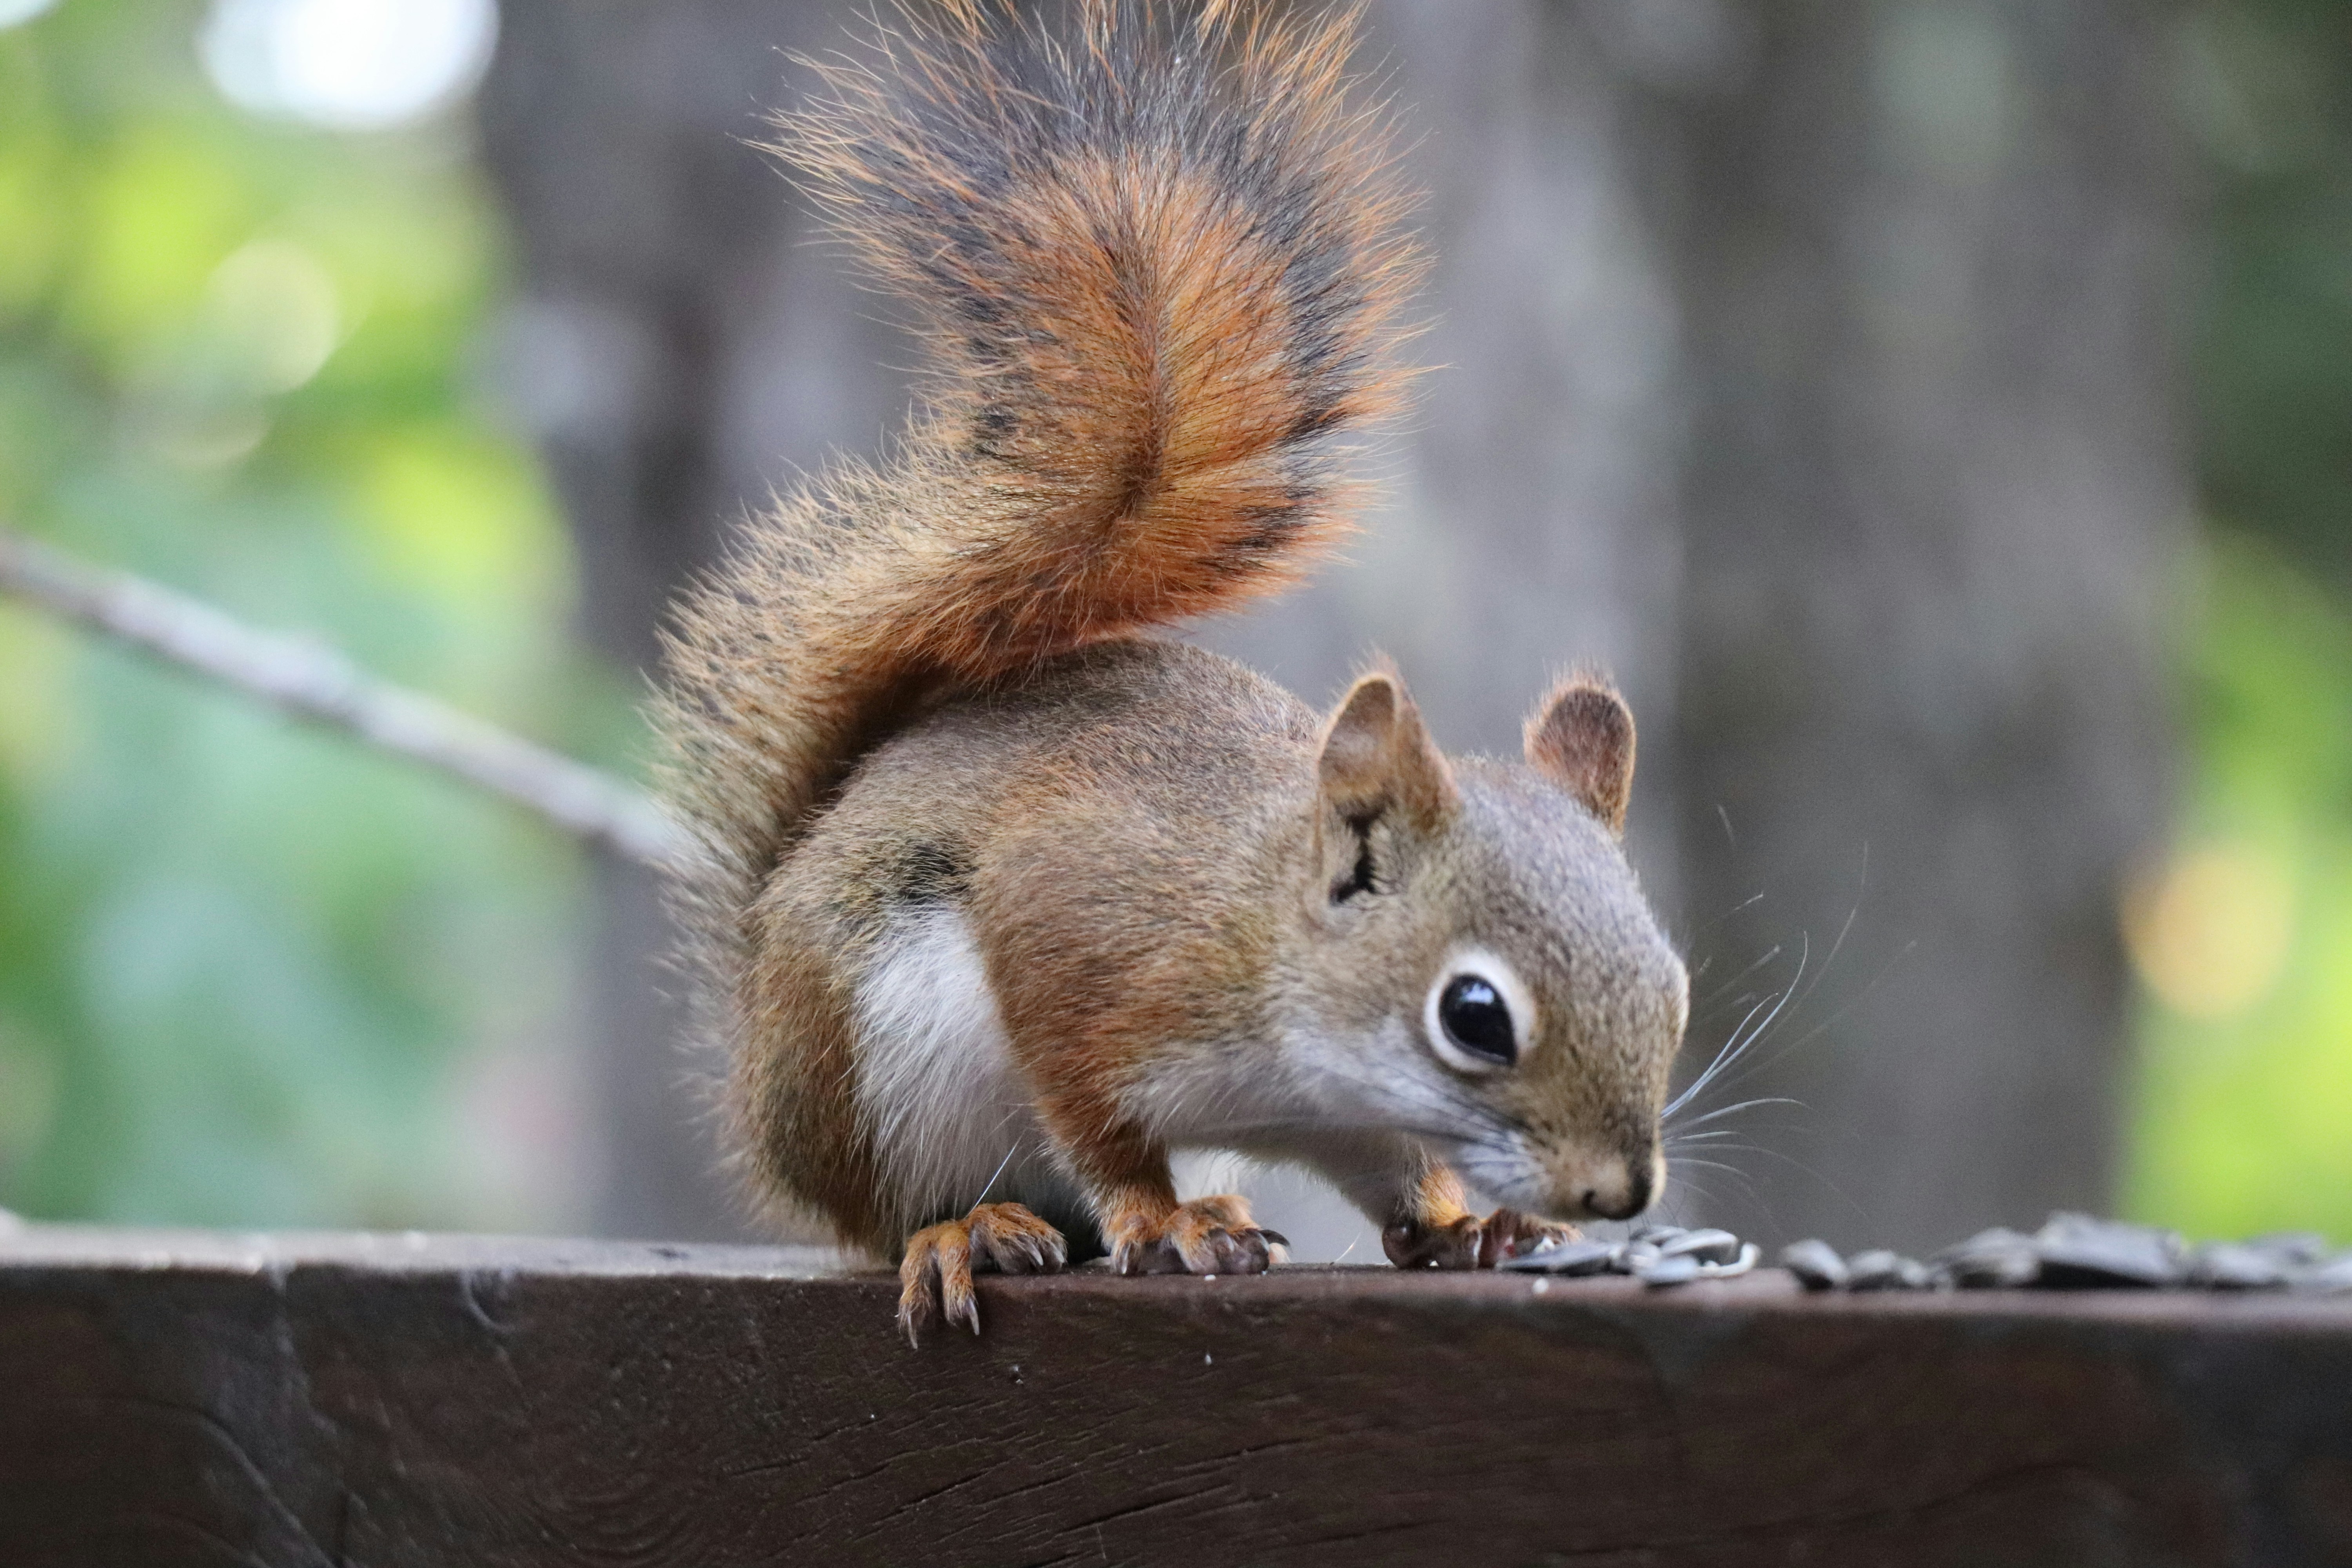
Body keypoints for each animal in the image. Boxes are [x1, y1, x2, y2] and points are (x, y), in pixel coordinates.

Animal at [655, 0, 1689, 1344]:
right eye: (1476, 1016)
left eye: (1672, 988)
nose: (1618, 1193)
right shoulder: (1080, 935)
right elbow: (1096, 1117)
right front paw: (1160, 1220)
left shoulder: (1349, 1121)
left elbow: (1398, 1179)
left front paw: (1469, 1225)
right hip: (863, 1068)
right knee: (893, 1213)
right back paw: (969, 1228)